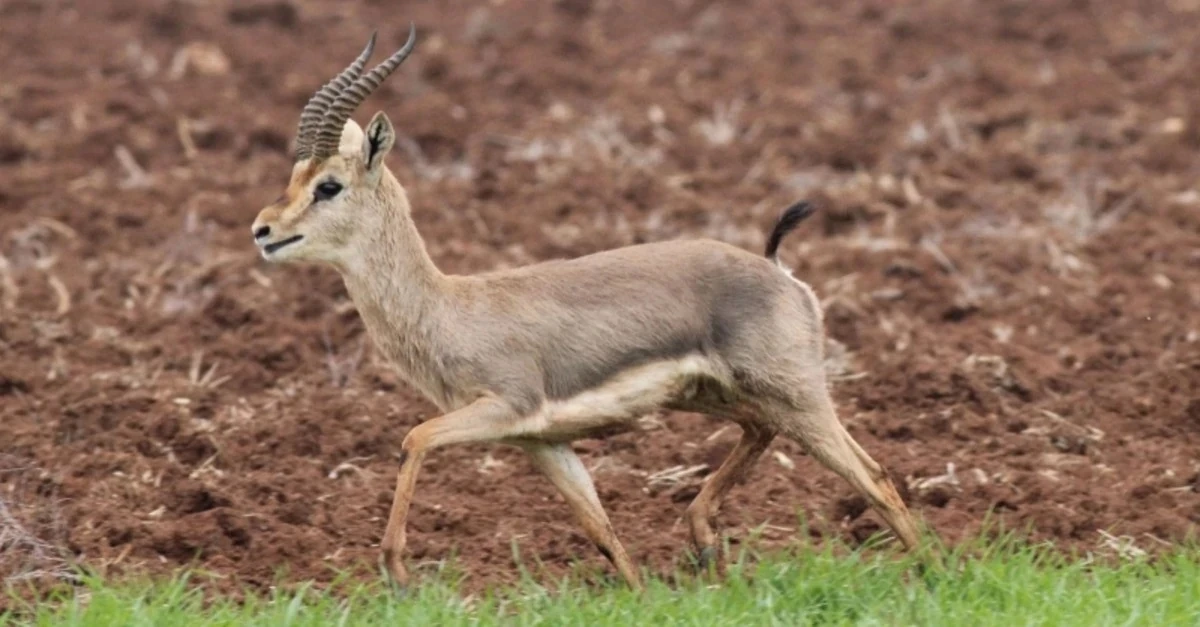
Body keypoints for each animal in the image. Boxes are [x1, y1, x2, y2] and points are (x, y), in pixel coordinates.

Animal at [251, 25, 928, 589]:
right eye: (293, 176)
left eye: (329, 185)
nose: (262, 230)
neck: (451, 306)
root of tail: (780, 272)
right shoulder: (542, 443)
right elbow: (599, 527)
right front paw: (640, 594)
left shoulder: (503, 407)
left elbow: (413, 437)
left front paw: (396, 571)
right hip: (720, 396)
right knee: (766, 434)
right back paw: (704, 543)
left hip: (798, 396)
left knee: (874, 476)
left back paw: (931, 575)